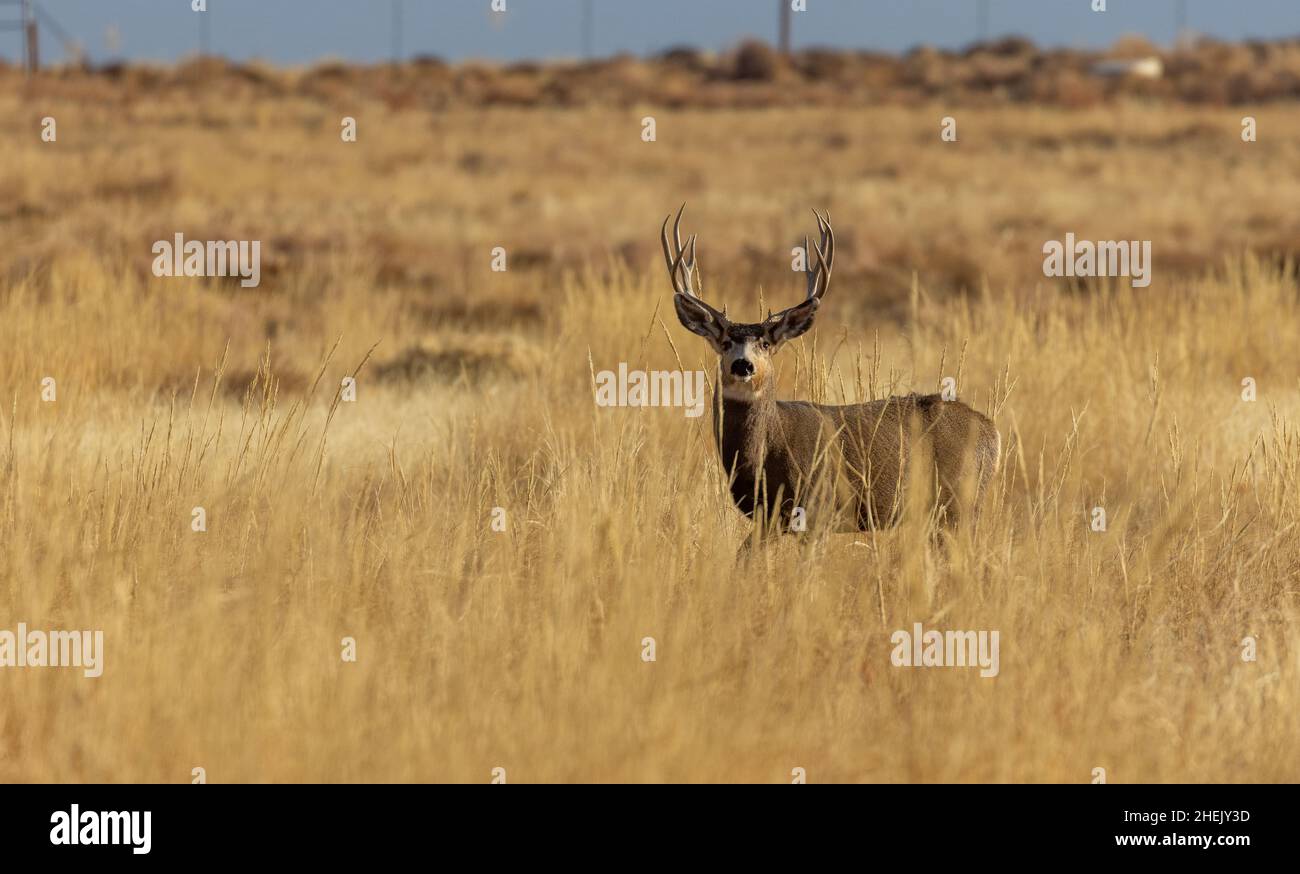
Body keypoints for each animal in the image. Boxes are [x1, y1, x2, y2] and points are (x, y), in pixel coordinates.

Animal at [661, 204, 1000, 548]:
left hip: (959, 502)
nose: (743, 365)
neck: (766, 450)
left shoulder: (819, 508)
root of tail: (992, 432)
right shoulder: (766, 520)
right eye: (725, 342)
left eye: (766, 344)